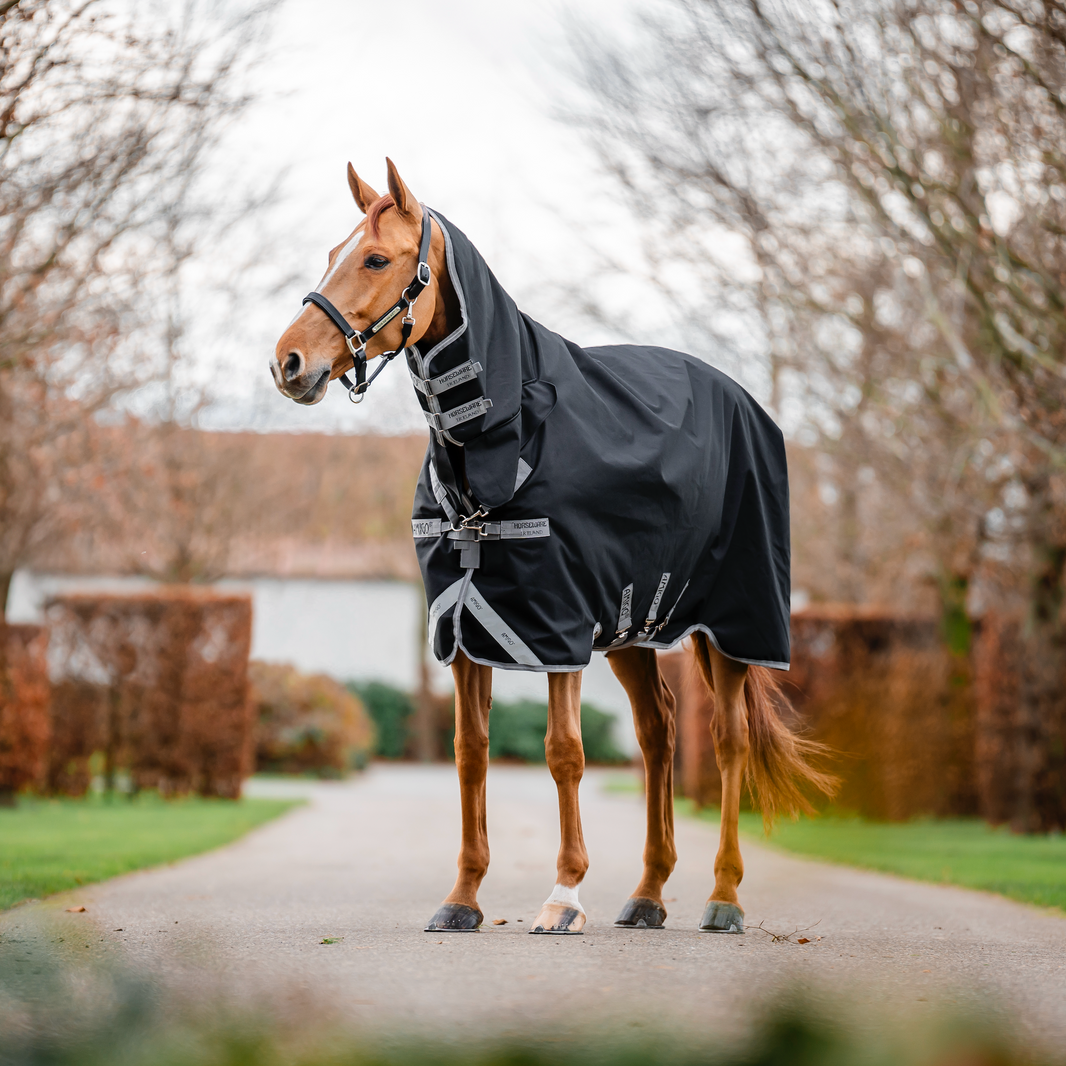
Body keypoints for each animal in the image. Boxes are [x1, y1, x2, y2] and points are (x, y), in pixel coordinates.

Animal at [272, 159, 835, 935]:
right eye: (333, 253)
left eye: (377, 259)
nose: (288, 362)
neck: (502, 443)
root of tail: (744, 401)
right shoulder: (465, 626)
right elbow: (470, 754)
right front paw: (463, 898)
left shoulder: (558, 624)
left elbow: (565, 752)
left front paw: (564, 895)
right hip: (631, 626)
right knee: (658, 732)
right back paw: (648, 893)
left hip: (734, 624)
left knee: (727, 741)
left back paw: (723, 897)